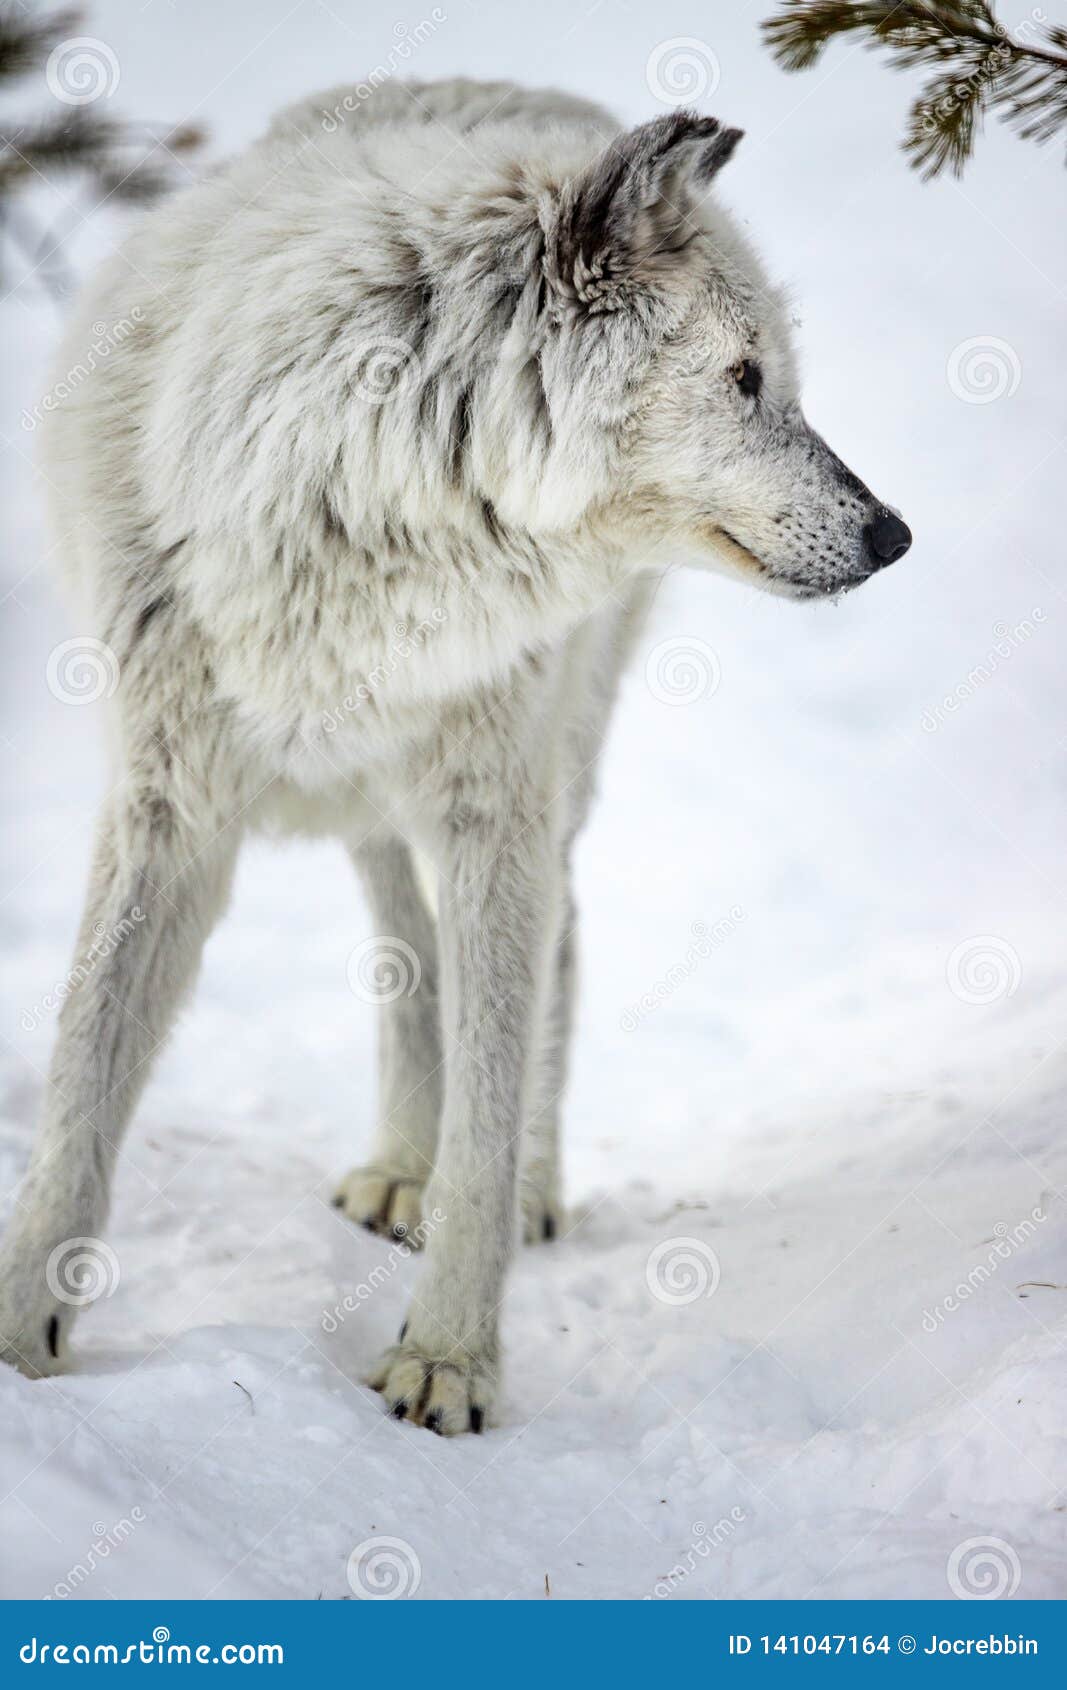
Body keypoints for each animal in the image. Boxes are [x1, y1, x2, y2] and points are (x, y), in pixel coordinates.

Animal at [0, 79, 910, 1432]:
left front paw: (446, 1363)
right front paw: (22, 1334)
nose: (891, 532)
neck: (362, 501)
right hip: (372, 800)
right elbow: (78, 1088)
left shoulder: (494, 820)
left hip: (545, 772)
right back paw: (393, 1164)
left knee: (557, 949)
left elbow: (483, 1120)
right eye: (746, 377)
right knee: (402, 941)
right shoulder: (169, 810)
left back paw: (526, 1186)